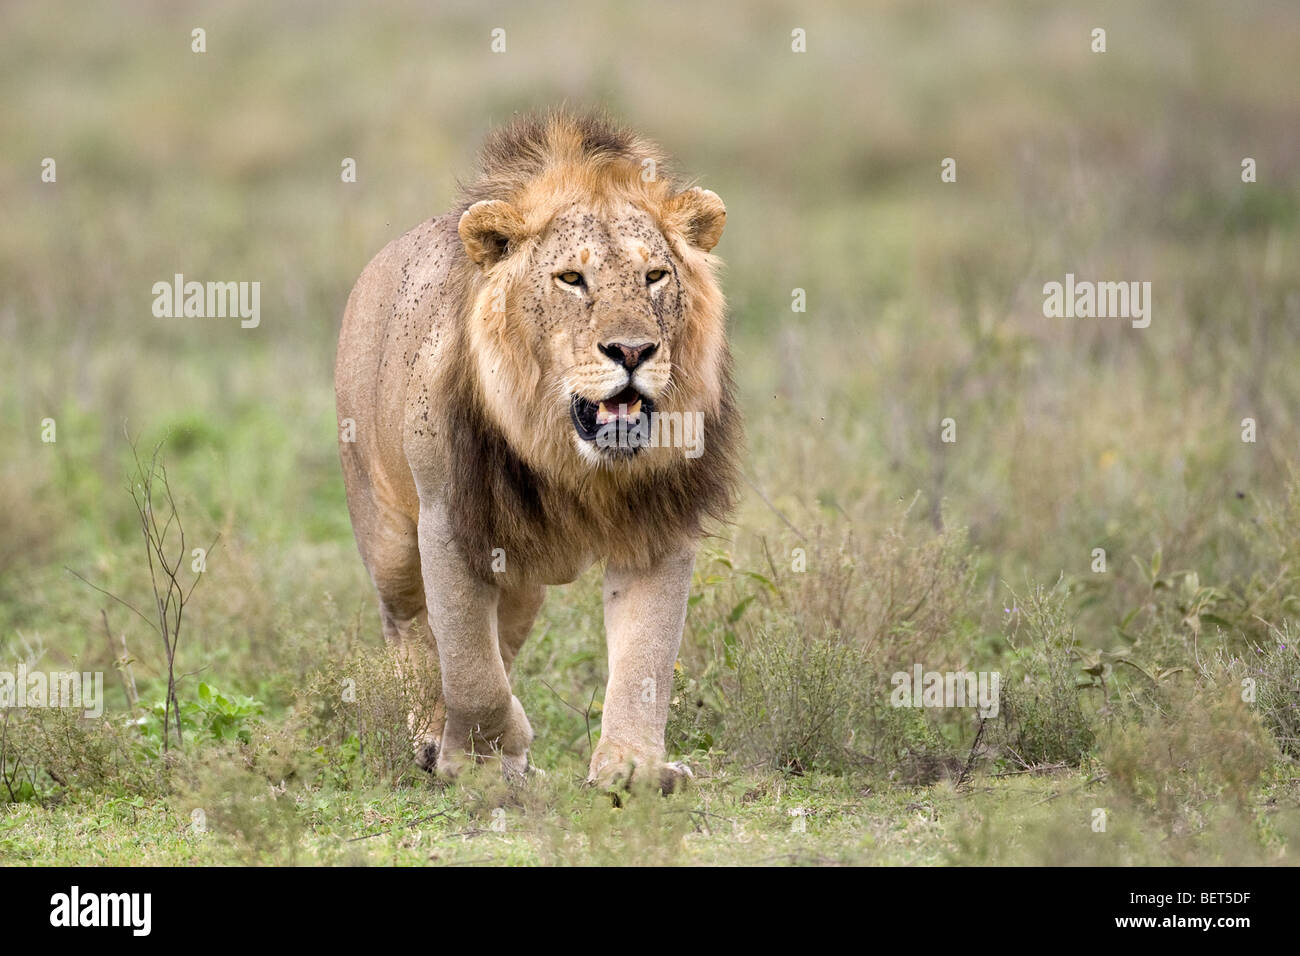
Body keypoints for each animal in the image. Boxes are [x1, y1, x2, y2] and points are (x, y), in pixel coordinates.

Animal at [334, 110, 739, 791]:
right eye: (572, 279)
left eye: (655, 276)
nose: (633, 351)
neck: (574, 460)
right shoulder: (449, 520)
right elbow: (468, 664)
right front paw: (479, 761)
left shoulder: (659, 523)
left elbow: (646, 656)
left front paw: (632, 767)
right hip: (389, 535)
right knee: (411, 629)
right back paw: (429, 734)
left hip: (523, 576)